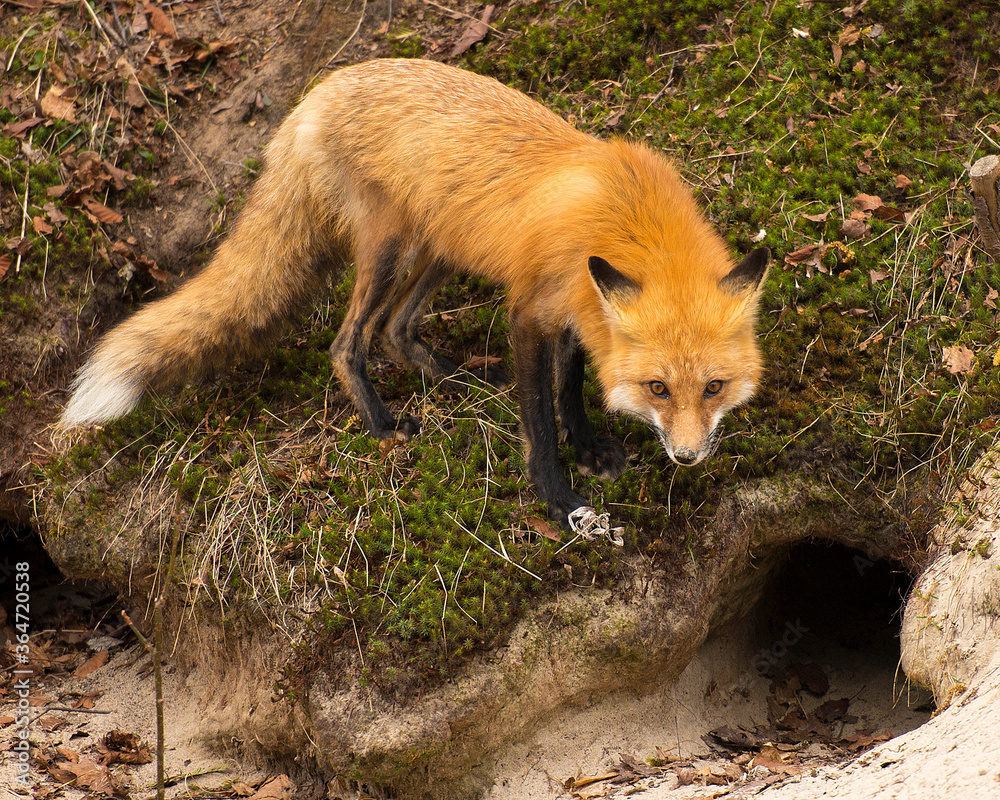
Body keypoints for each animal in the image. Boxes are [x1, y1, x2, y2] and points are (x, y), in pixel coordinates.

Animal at [60, 58, 770, 525]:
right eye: (658, 389)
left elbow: (568, 388)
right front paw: (558, 498)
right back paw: (380, 423)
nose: (686, 457)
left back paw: (459, 381)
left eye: (713, 387)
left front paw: (589, 446)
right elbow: (539, 415)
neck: (628, 220)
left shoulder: (579, 307)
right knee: (350, 342)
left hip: (442, 249)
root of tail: (319, 90)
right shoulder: (533, 309)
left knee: (396, 330)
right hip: (389, 248)